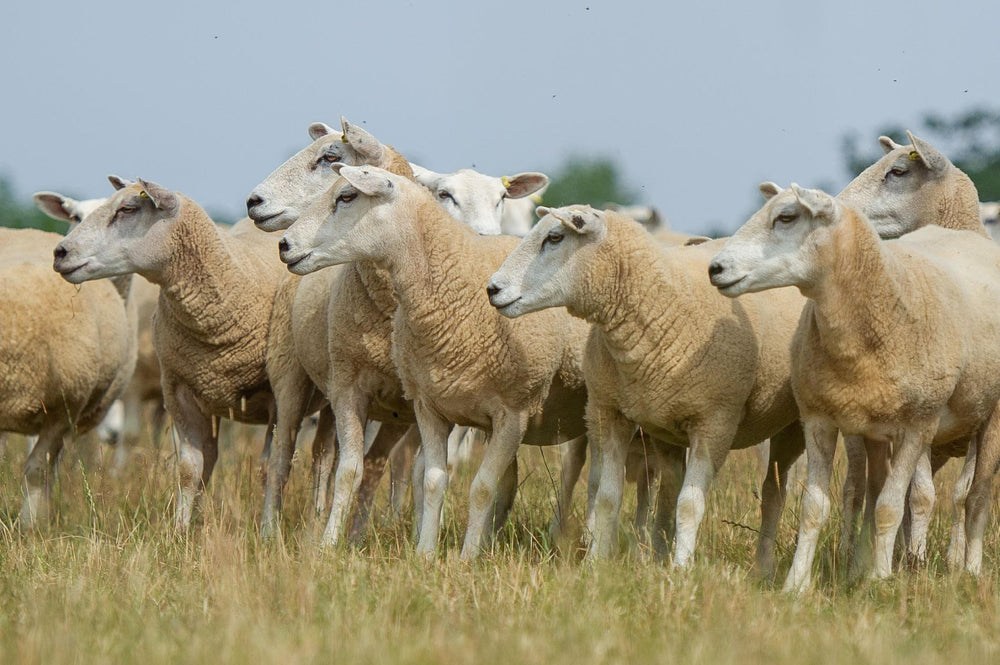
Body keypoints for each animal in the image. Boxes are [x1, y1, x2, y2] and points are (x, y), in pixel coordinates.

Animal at [53, 177, 287, 529]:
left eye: (128, 209)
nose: (60, 251)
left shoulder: (279, 398)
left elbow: (268, 468)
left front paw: (268, 531)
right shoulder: (179, 391)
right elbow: (190, 470)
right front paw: (179, 532)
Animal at [249, 119, 552, 546]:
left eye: (330, 157)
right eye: (444, 194)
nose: (253, 201)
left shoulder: (430, 398)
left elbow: (420, 470)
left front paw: (418, 537)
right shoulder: (350, 386)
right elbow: (349, 469)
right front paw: (328, 544)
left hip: (373, 406)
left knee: (347, 459)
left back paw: (343, 527)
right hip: (291, 373)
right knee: (283, 458)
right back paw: (272, 532)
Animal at [487, 204, 805, 573]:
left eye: (554, 238)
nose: (492, 288)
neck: (660, 303)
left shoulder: (715, 422)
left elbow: (690, 505)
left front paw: (681, 571)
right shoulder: (609, 412)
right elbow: (607, 497)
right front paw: (596, 564)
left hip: (791, 425)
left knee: (773, 492)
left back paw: (763, 568)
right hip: (666, 428)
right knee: (668, 489)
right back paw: (658, 554)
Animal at [708, 183, 1000, 590]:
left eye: (786, 217)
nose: (714, 269)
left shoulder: (917, 426)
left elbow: (891, 507)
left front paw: (880, 579)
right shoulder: (819, 419)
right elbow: (814, 507)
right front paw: (796, 583)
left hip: (990, 416)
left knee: (977, 495)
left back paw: (970, 569)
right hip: (873, 425)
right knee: (874, 488)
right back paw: (862, 565)